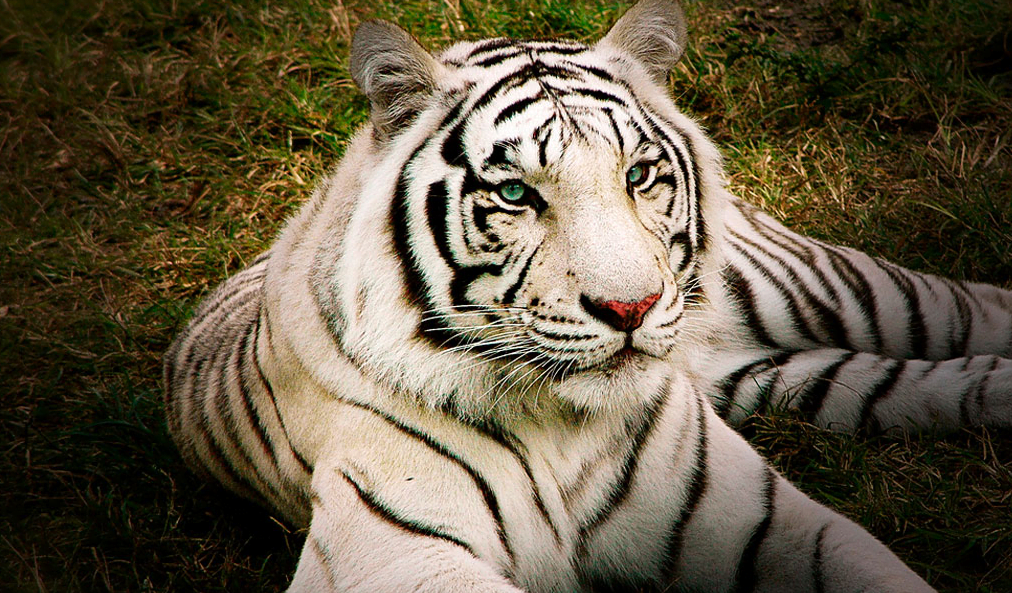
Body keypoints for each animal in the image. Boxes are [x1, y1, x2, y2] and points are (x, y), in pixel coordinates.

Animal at [162, 0, 1011, 590]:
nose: (630, 308)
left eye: (638, 174)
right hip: (783, 379)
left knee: (965, 307)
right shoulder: (391, 551)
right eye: (514, 192)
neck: (559, 425)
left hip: (823, 285)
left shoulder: (762, 517)